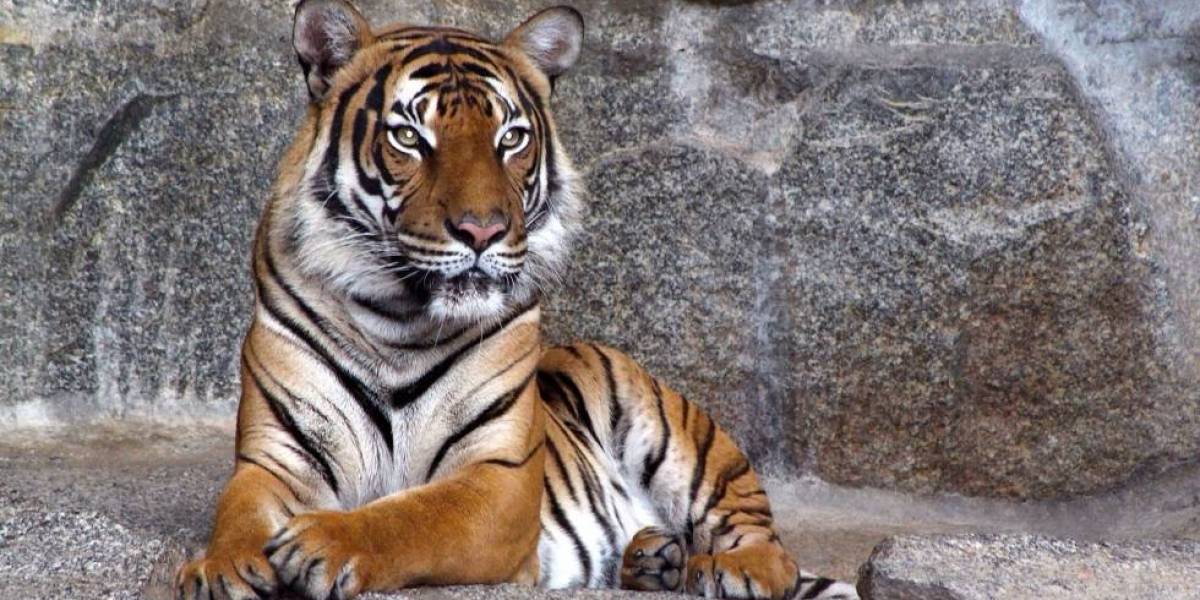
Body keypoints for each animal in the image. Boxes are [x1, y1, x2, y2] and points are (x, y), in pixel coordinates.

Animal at [174, 2, 859, 599]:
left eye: (510, 138)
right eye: (409, 136)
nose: (483, 231)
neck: (397, 318)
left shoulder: (497, 478)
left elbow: (409, 518)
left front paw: (323, 542)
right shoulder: (273, 456)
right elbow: (237, 511)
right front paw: (219, 568)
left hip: (668, 426)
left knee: (769, 544)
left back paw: (727, 569)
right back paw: (654, 558)